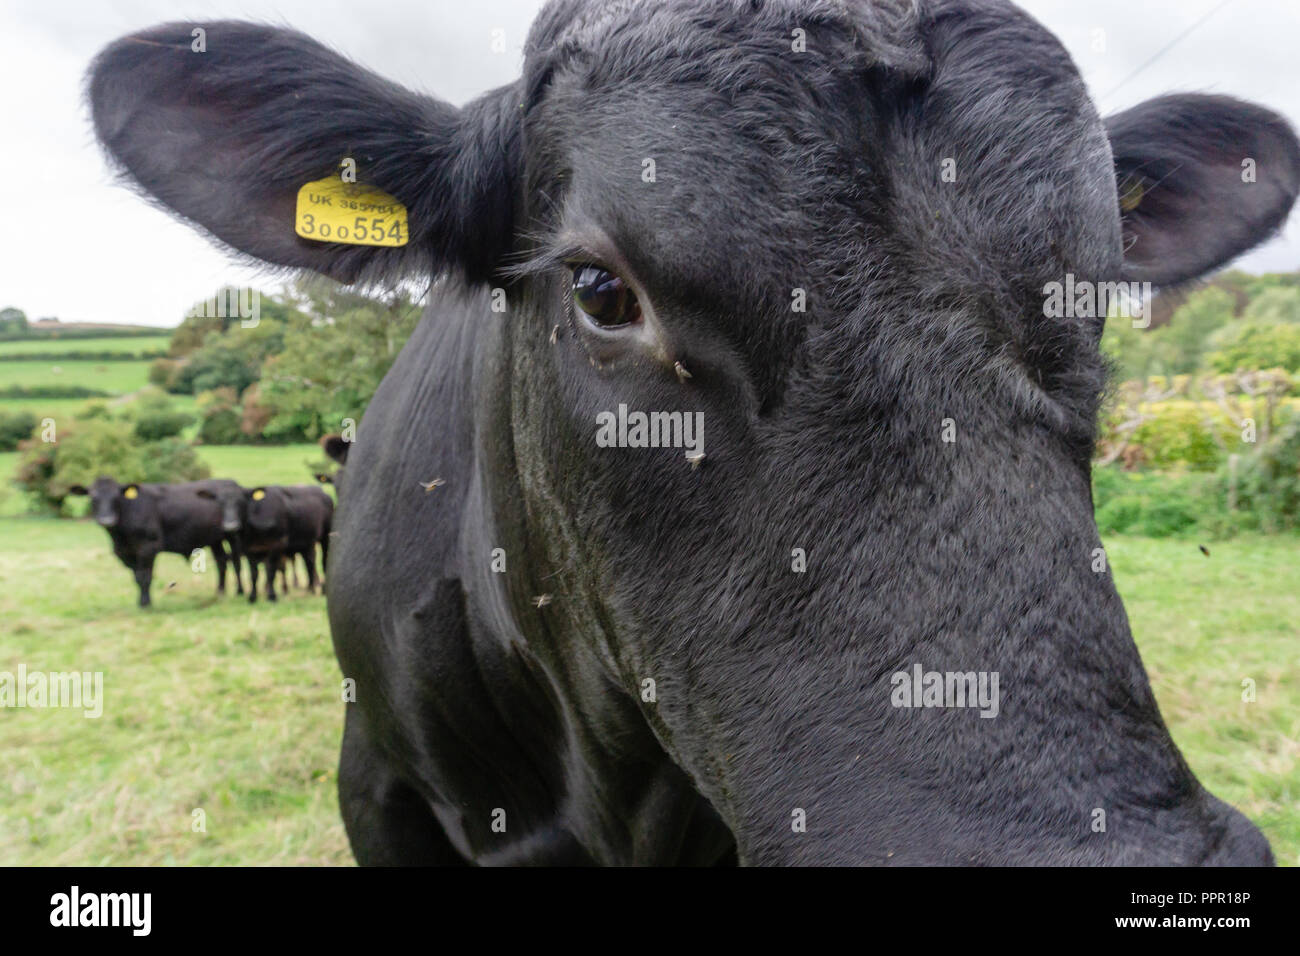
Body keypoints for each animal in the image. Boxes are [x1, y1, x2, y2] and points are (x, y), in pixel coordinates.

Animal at [68, 477, 244, 607]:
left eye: (116, 497)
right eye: (93, 497)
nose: (107, 520)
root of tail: (230, 481)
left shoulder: (149, 546)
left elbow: (145, 576)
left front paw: (146, 603)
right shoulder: (124, 553)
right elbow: (137, 577)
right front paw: (141, 601)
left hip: (233, 535)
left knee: (236, 562)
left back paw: (240, 592)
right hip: (215, 539)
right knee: (222, 561)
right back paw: (220, 592)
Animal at [198, 484, 333, 602]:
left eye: (241, 502)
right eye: (220, 503)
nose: (230, 526)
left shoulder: (276, 545)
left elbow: (271, 571)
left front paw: (272, 596)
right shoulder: (248, 549)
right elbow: (254, 573)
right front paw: (252, 597)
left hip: (325, 537)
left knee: (323, 561)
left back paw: (323, 590)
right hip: (306, 543)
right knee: (309, 562)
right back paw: (310, 589)